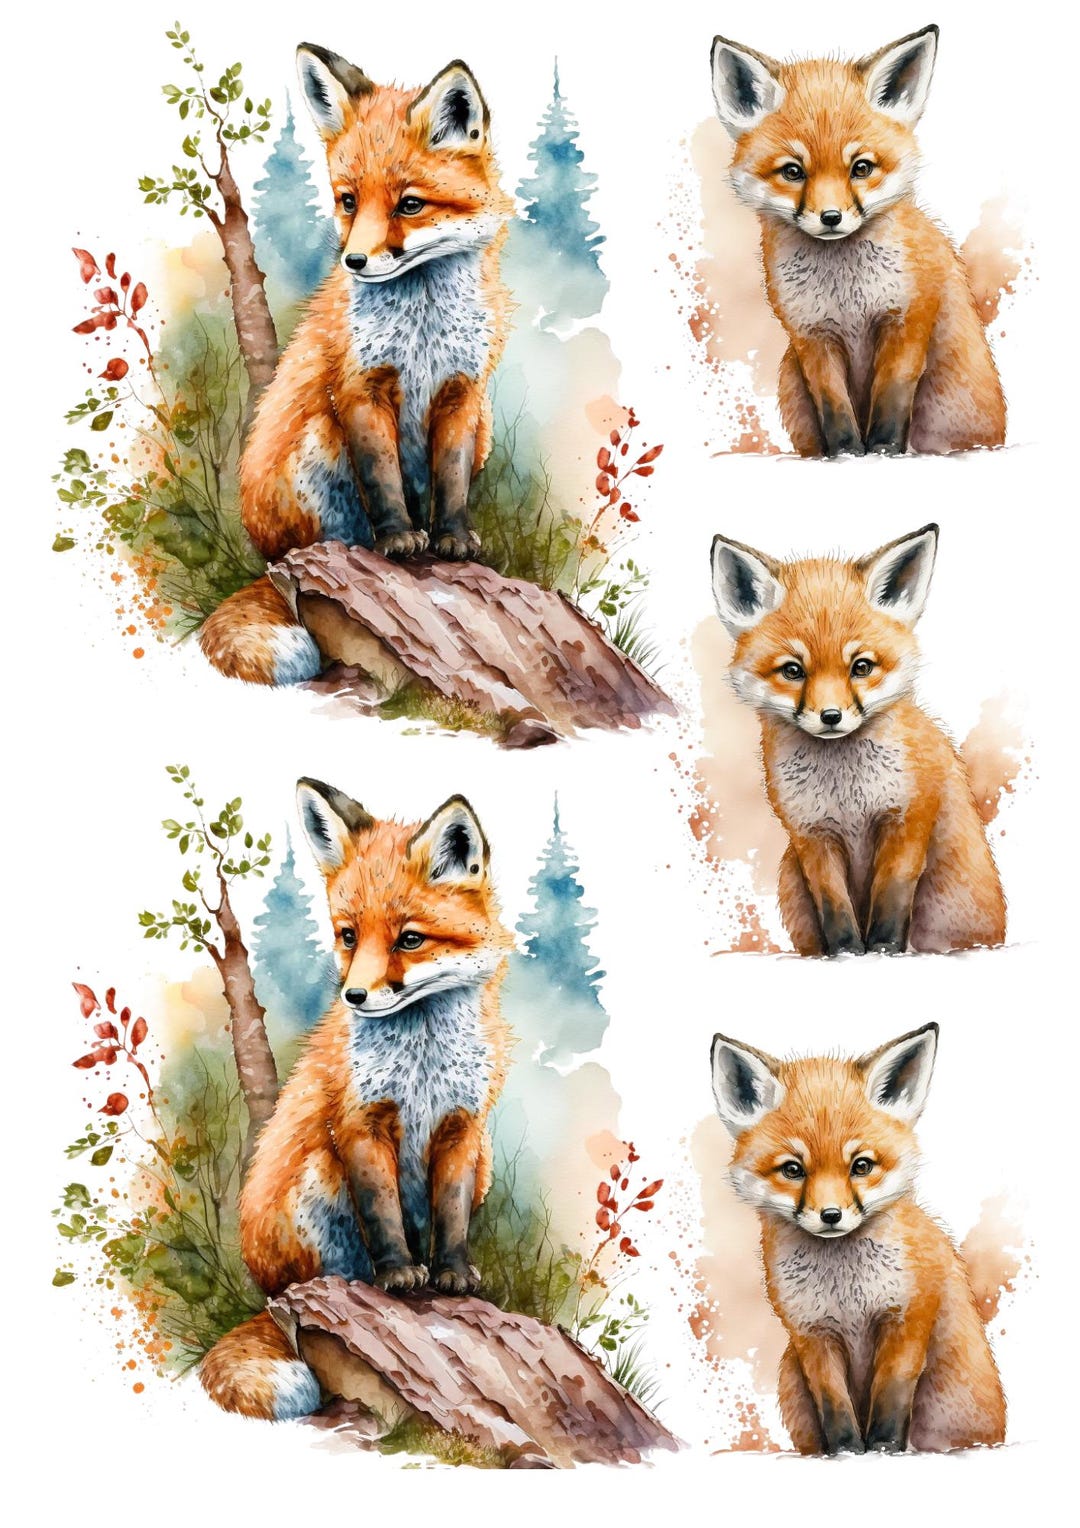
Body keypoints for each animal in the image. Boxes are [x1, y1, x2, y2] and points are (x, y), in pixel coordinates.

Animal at [198, 44, 514, 687]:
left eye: (410, 205)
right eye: (348, 200)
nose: (356, 261)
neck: (423, 327)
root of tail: (267, 558)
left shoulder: (463, 393)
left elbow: (450, 482)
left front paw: (452, 539)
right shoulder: (359, 389)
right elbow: (383, 478)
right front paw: (397, 540)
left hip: (487, 426)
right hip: (316, 443)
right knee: (324, 549)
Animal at [199, 780, 513, 1420]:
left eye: (410, 940)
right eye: (349, 935)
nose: (356, 996)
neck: (423, 1061)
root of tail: (266, 1292)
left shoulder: (462, 1127)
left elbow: (450, 1216)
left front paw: (451, 1273)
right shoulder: (359, 1123)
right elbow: (383, 1213)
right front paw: (397, 1275)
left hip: (487, 1160)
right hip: (316, 1178)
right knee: (324, 1283)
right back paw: (353, 1291)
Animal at [710, 25, 1006, 457]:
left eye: (861, 168)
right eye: (793, 171)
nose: (831, 217)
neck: (848, 296)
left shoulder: (906, 319)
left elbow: (891, 400)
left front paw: (882, 451)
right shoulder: (811, 334)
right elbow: (835, 409)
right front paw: (847, 454)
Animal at [710, 523, 1006, 956]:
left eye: (861, 667)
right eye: (793, 671)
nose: (831, 716)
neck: (848, 795)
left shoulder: (905, 819)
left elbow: (891, 900)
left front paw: (882, 950)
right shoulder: (811, 834)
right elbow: (835, 909)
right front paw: (848, 953)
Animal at [711, 1023, 1006, 1453]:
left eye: (861, 1165)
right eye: (793, 1169)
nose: (831, 1215)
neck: (847, 1294)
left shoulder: (905, 1319)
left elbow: (891, 1399)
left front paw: (882, 1449)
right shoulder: (811, 1333)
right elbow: (835, 1408)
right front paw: (847, 1452)